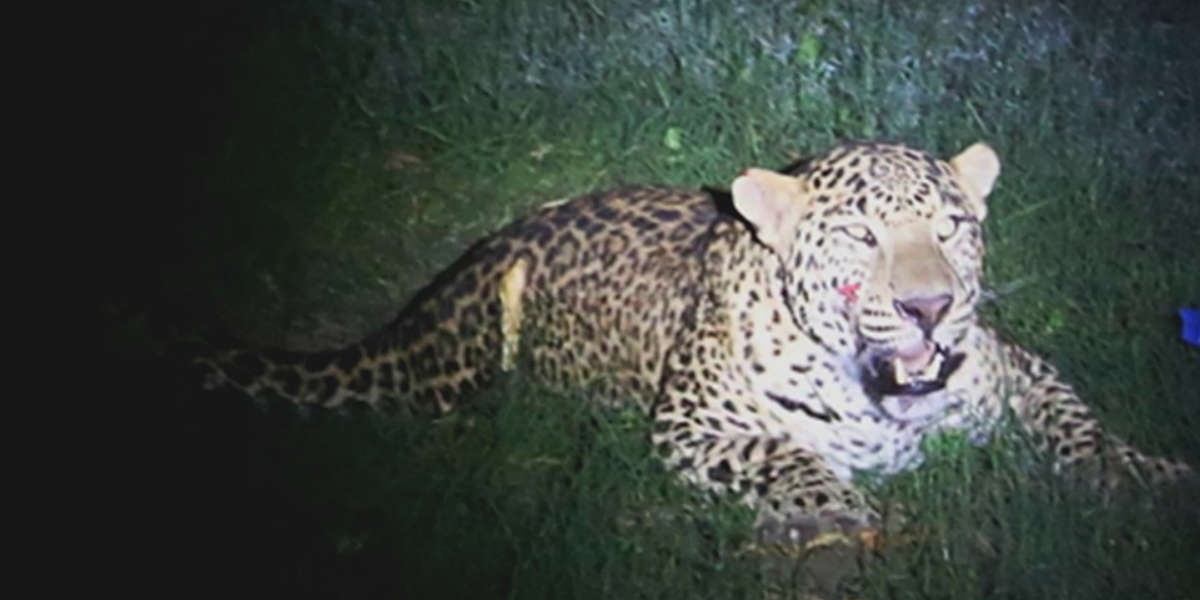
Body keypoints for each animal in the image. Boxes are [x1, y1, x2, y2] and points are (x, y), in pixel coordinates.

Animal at [197, 140, 1192, 543]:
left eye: (951, 227)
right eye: (861, 235)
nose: (930, 307)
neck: (888, 405)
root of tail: (469, 265)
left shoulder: (1019, 367)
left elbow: (1078, 425)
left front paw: (1141, 477)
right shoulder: (689, 425)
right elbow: (782, 454)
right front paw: (831, 508)